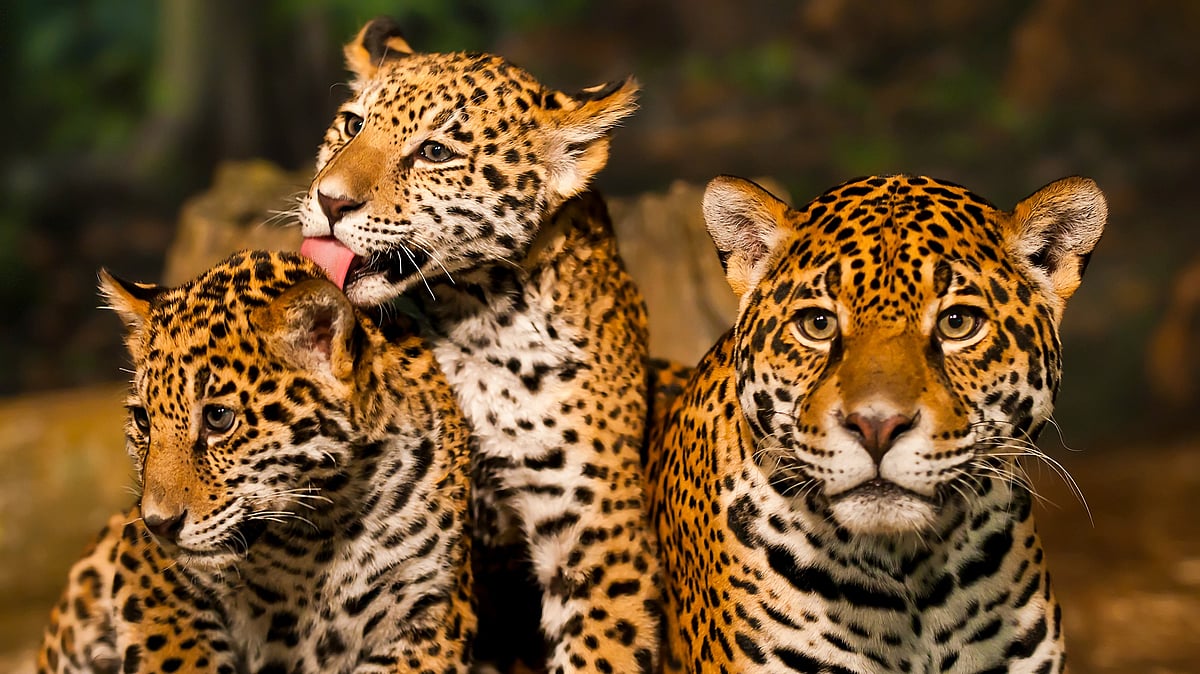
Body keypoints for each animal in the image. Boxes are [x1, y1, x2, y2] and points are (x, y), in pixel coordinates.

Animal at [38, 250, 476, 674]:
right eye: (143, 420)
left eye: (218, 418)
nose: (158, 525)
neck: (320, 532)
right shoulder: (144, 567)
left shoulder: (434, 618)